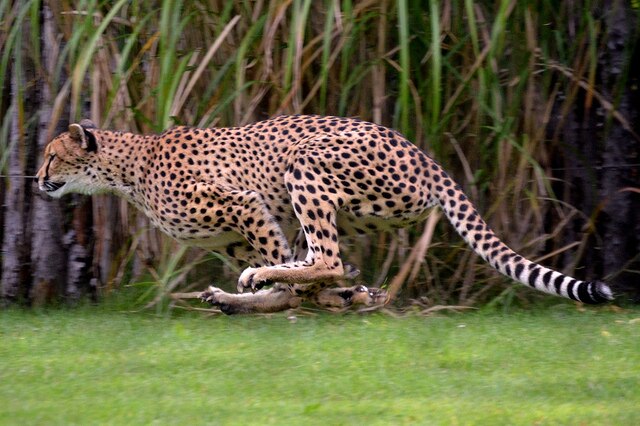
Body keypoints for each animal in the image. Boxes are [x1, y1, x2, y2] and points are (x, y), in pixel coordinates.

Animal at [36, 115, 613, 313]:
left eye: (51, 155)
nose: (38, 179)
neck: (125, 168)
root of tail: (425, 156)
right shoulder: (239, 230)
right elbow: (297, 275)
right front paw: (347, 296)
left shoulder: (245, 204)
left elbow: (289, 276)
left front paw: (274, 291)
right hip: (354, 206)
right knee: (325, 258)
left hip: (306, 163)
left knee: (327, 258)